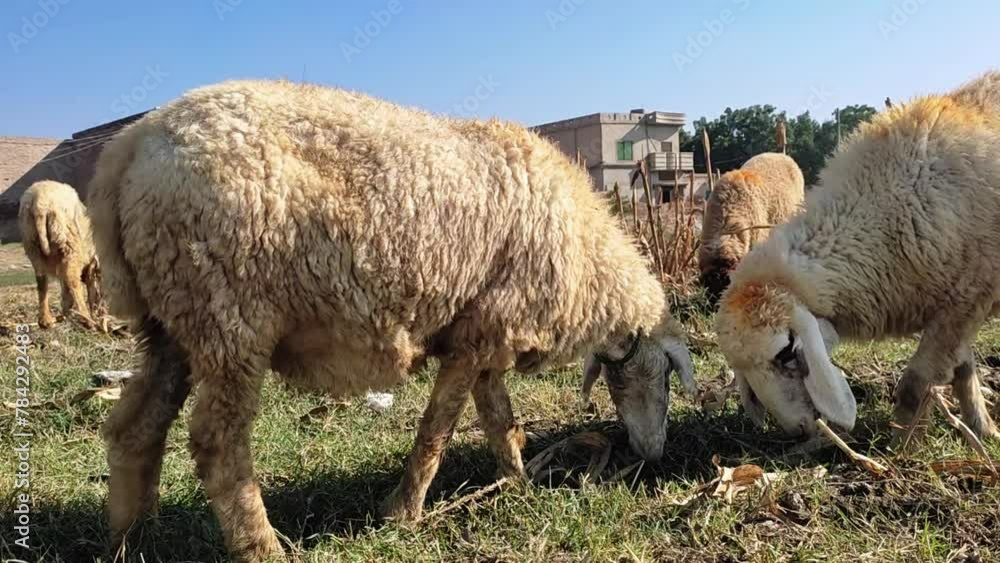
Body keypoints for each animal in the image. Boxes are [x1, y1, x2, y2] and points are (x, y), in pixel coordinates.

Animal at [17, 180, 103, 329]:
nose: (100, 312)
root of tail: (40, 203)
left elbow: (65, 290)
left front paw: (65, 313)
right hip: (67, 242)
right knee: (72, 281)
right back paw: (87, 320)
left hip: (31, 241)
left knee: (42, 281)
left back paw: (46, 321)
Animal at [89, 79, 695, 562]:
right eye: (666, 376)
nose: (653, 456)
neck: (588, 263)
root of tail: (131, 146)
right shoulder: (476, 336)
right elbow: (438, 429)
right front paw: (402, 513)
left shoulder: (486, 328)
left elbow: (499, 418)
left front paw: (517, 483)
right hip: (228, 313)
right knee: (218, 441)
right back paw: (261, 548)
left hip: (171, 316)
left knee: (135, 428)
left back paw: (132, 538)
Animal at [714, 70, 1000, 445]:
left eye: (787, 352)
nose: (799, 430)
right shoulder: (952, 308)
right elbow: (962, 369)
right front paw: (983, 429)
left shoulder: (966, 297)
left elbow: (916, 383)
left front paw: (900, 448)